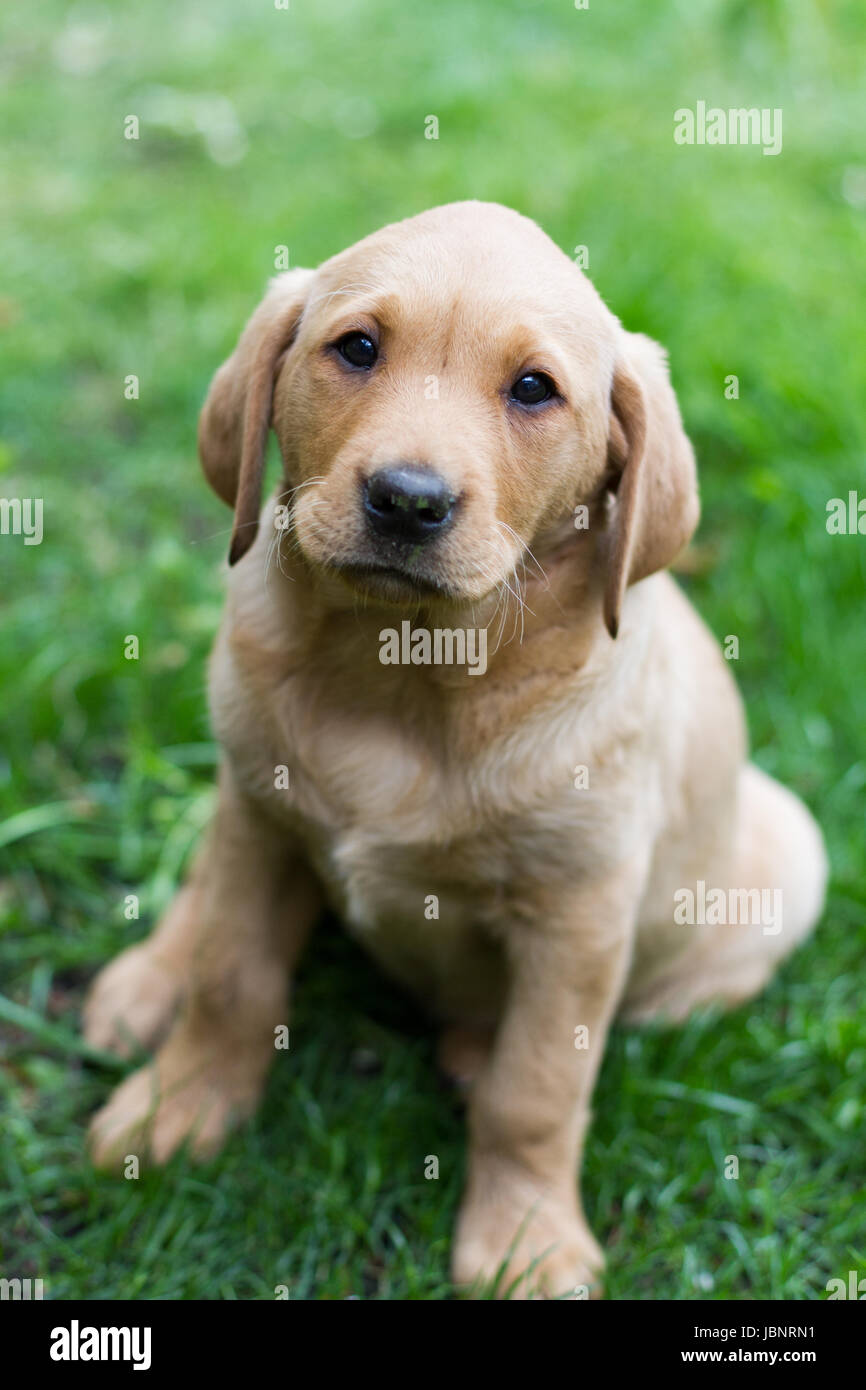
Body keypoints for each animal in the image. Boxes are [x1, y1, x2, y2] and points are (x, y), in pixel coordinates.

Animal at [84, 201, 828, 1295]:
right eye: (356, 348)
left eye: (533, 389)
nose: (406, 498)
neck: (402, 674)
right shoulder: (260, 818)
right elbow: (232, 976)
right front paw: (177, 1106)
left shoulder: (578, 917)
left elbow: (537, 1090)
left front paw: (525, 1240)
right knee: (203, 890)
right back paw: (149, 977)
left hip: (789, 851)